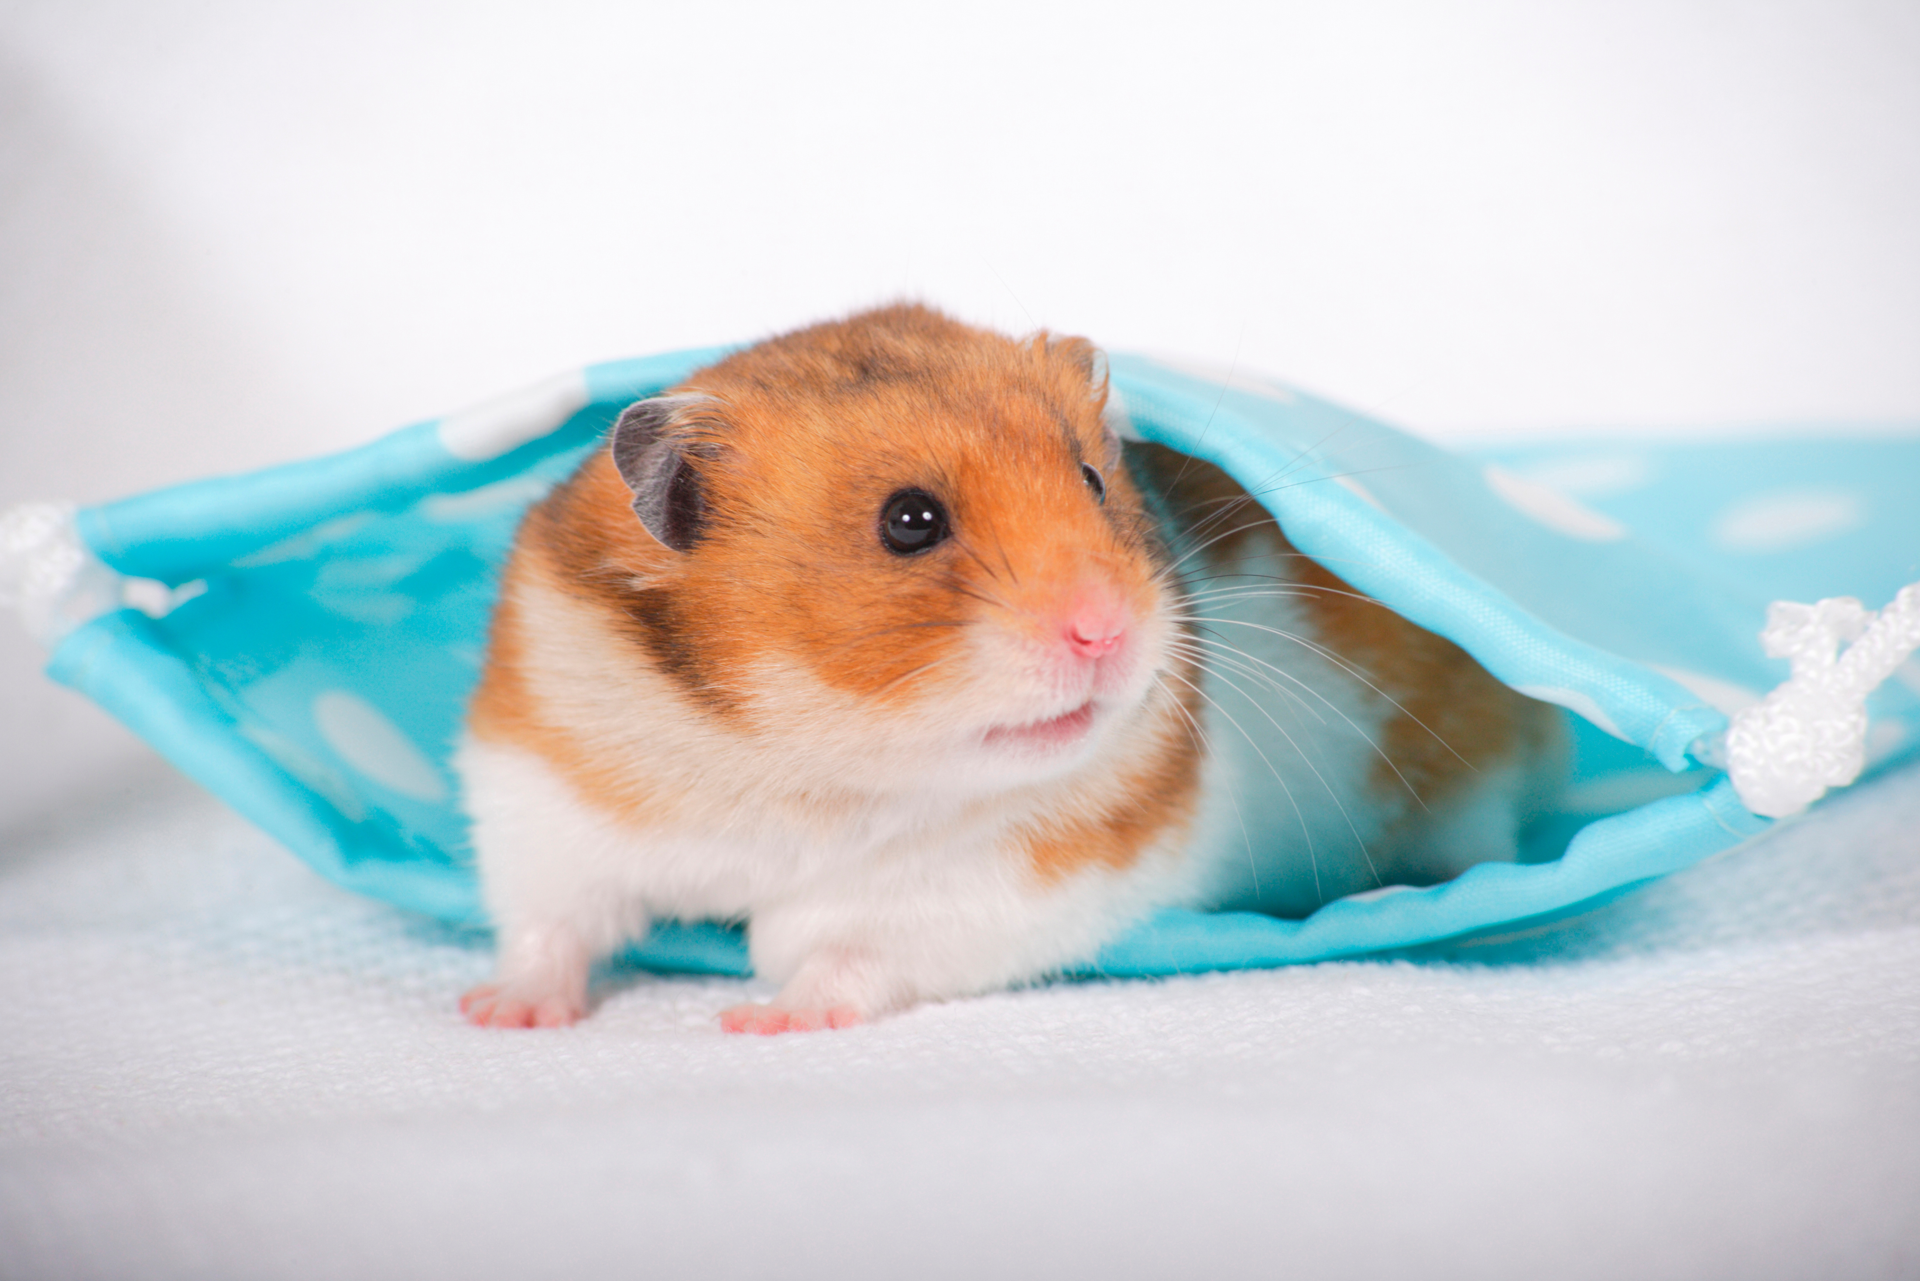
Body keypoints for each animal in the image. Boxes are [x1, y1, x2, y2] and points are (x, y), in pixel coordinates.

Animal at [455, 304, 1562, 1033]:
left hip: (1465, 775)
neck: (799, 748)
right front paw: (499, 1015)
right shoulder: (542, 790)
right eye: (909, 520)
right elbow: (550, 920)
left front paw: (760, 1019)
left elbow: (840, 946)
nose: (1109, 633)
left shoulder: (1001, 884)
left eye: (1094, 477)